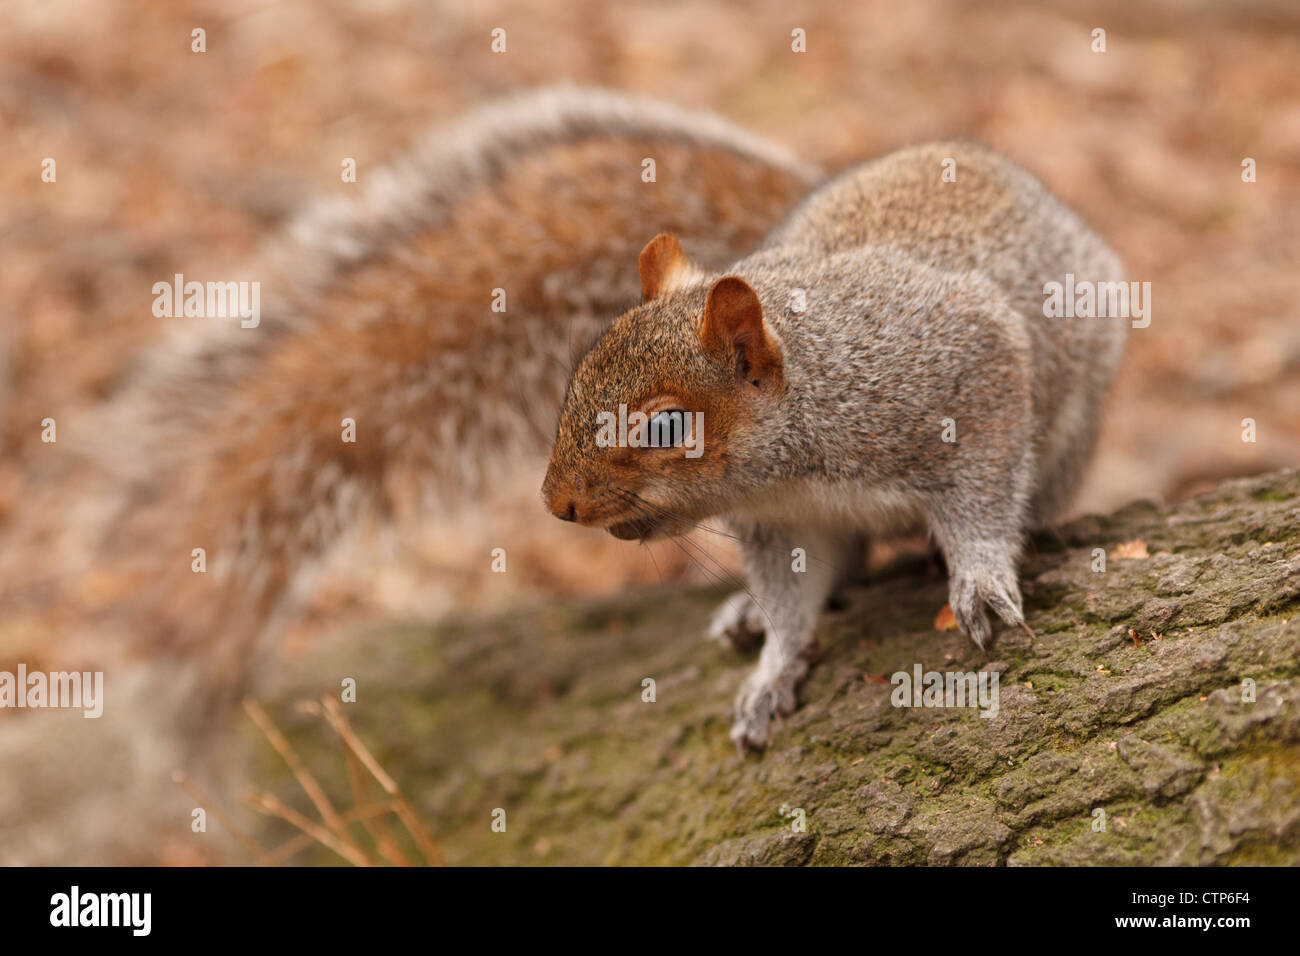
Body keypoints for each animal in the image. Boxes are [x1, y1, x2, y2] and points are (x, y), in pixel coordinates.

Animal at [542, 140, 1128, 752]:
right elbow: (789, 604)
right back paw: (746, 615)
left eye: (666, 427)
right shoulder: (779, 524)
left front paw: (980, 577)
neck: (788, 474)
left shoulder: (965, 365)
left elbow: (982, 493)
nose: (557, 504)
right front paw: (773, 673)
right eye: (577, 379)